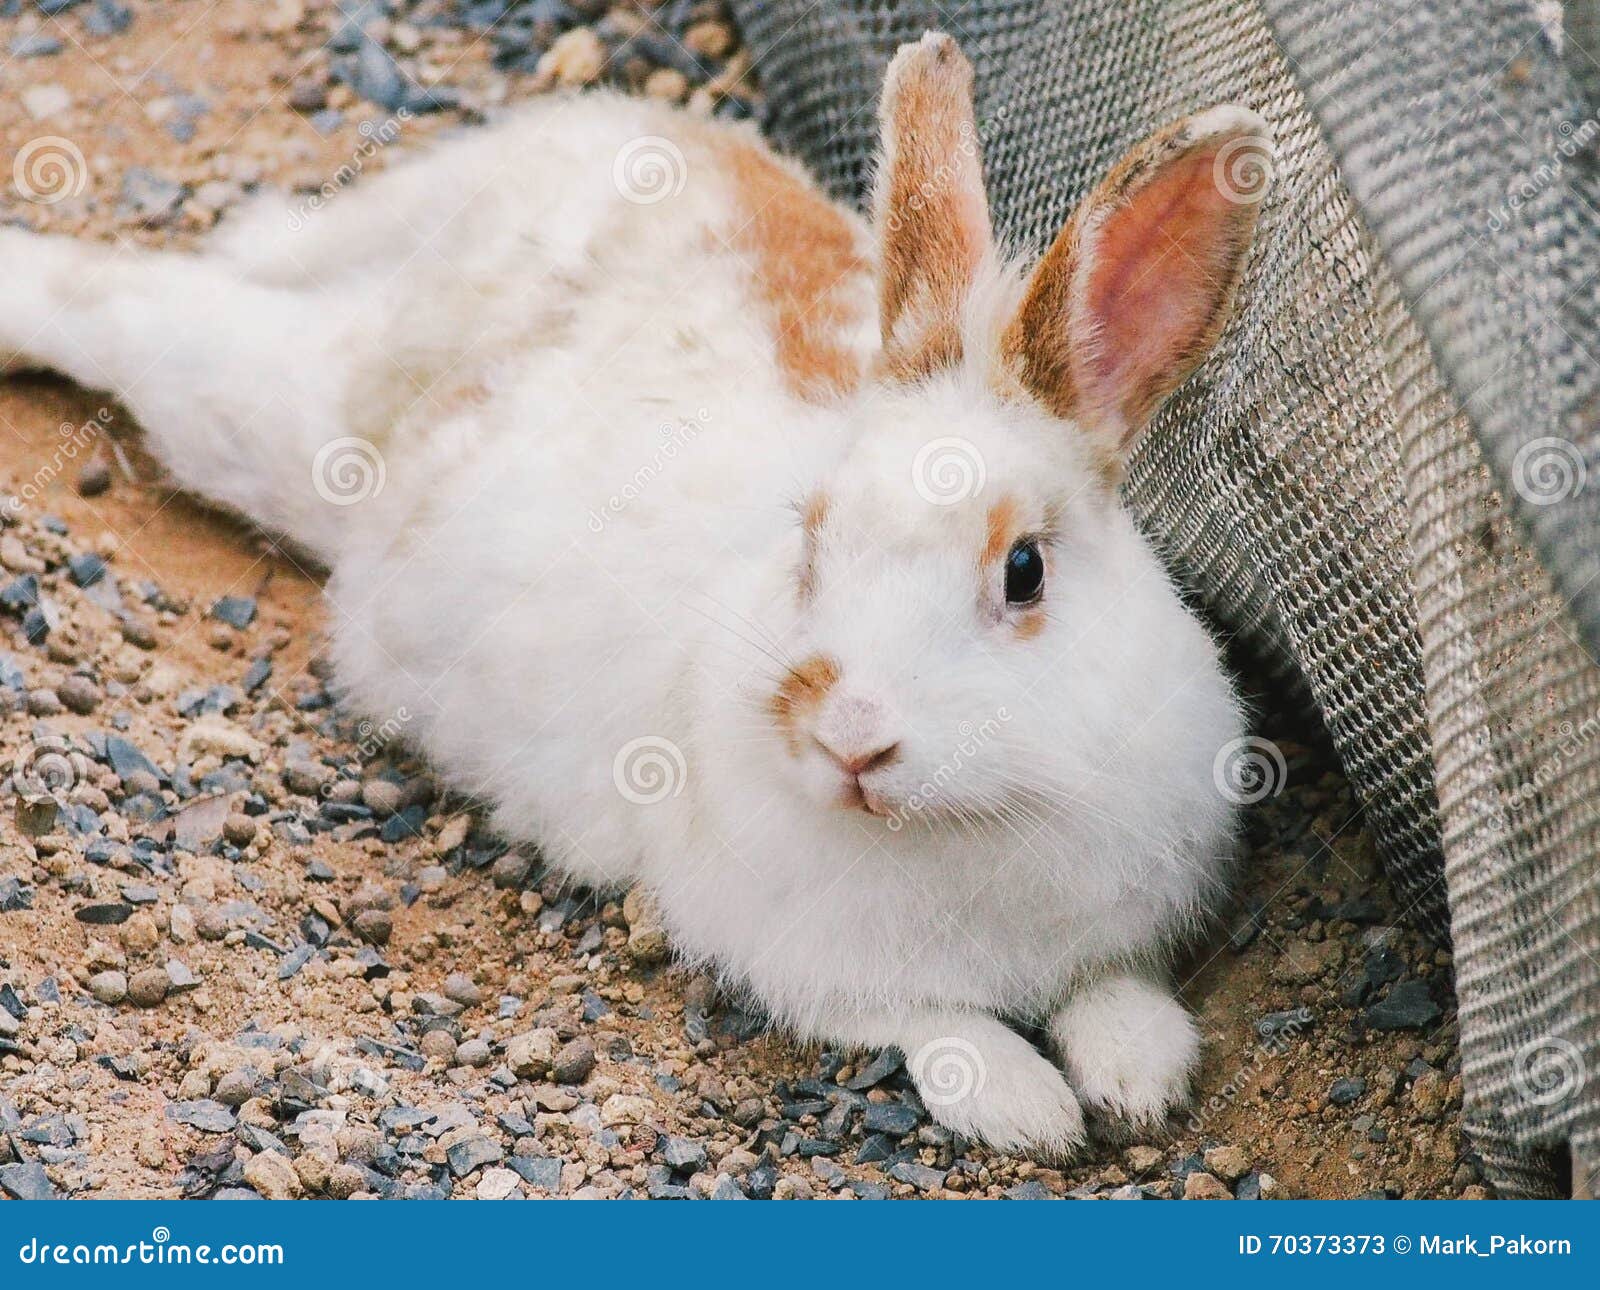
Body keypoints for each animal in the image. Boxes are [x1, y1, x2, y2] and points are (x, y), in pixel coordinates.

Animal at [0, 32, 1270, 1157]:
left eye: (1024, 571)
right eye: (811, 538)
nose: (851, 738)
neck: (972, 814)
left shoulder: (1121, 927)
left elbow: (1117, 993)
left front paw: (1140, 1082)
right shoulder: (812, 964)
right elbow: (938, 1030)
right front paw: (1030, 1113)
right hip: (272, 407)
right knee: (138, 306)